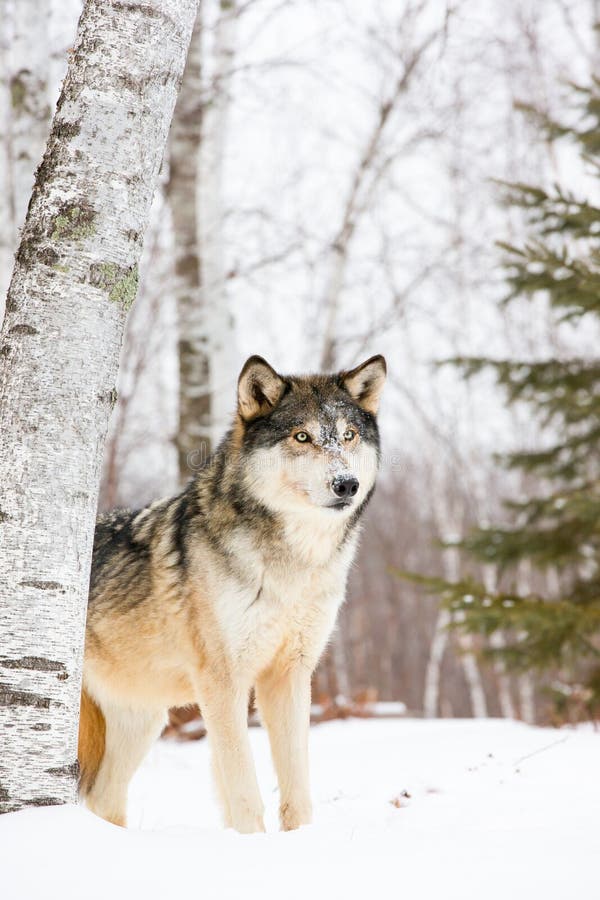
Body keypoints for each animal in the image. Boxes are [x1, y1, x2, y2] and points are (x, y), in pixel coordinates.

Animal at [78, 353, 386, 833]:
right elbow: (243, 790)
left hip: (141, 720)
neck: (292, 565)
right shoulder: (223, 682)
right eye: (302, 436)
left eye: (348, 436)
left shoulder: (290, 675)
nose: (346, 484)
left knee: (102, 799)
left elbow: (298, 791)